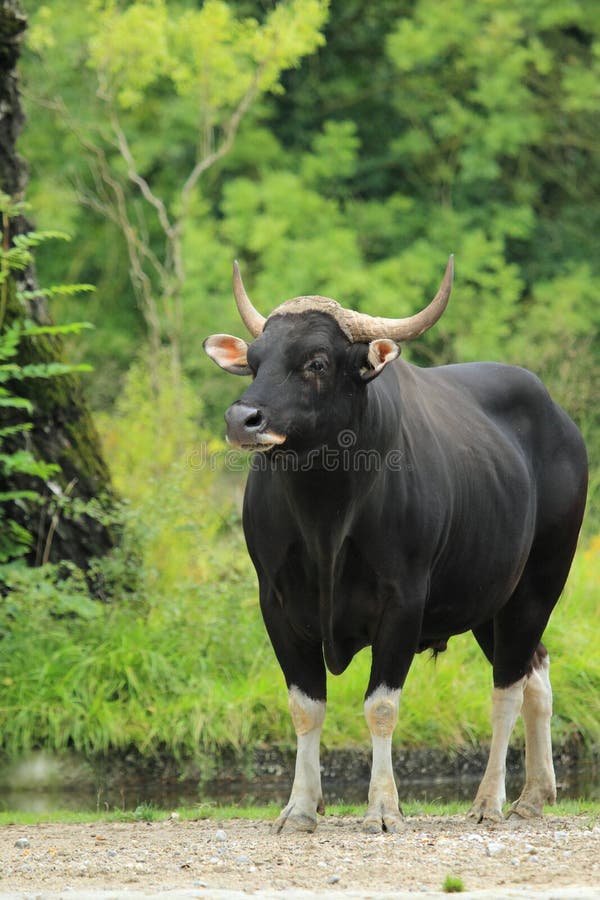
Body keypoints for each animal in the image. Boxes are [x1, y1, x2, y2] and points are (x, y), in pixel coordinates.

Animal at [203, 257, 587, 834]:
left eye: (317, 361)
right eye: (253, 361)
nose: (242, 420)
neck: (326, 521)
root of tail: (562, 422)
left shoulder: (404, 601)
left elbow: (380, 707)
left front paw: (384, 806)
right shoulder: (275, 603)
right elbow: (305, 708)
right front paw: (300, 807)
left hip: (541, 583)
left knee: (507, 689)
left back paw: (489, 801)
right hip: (490, 600)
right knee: (534, 671)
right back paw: (534, 795)